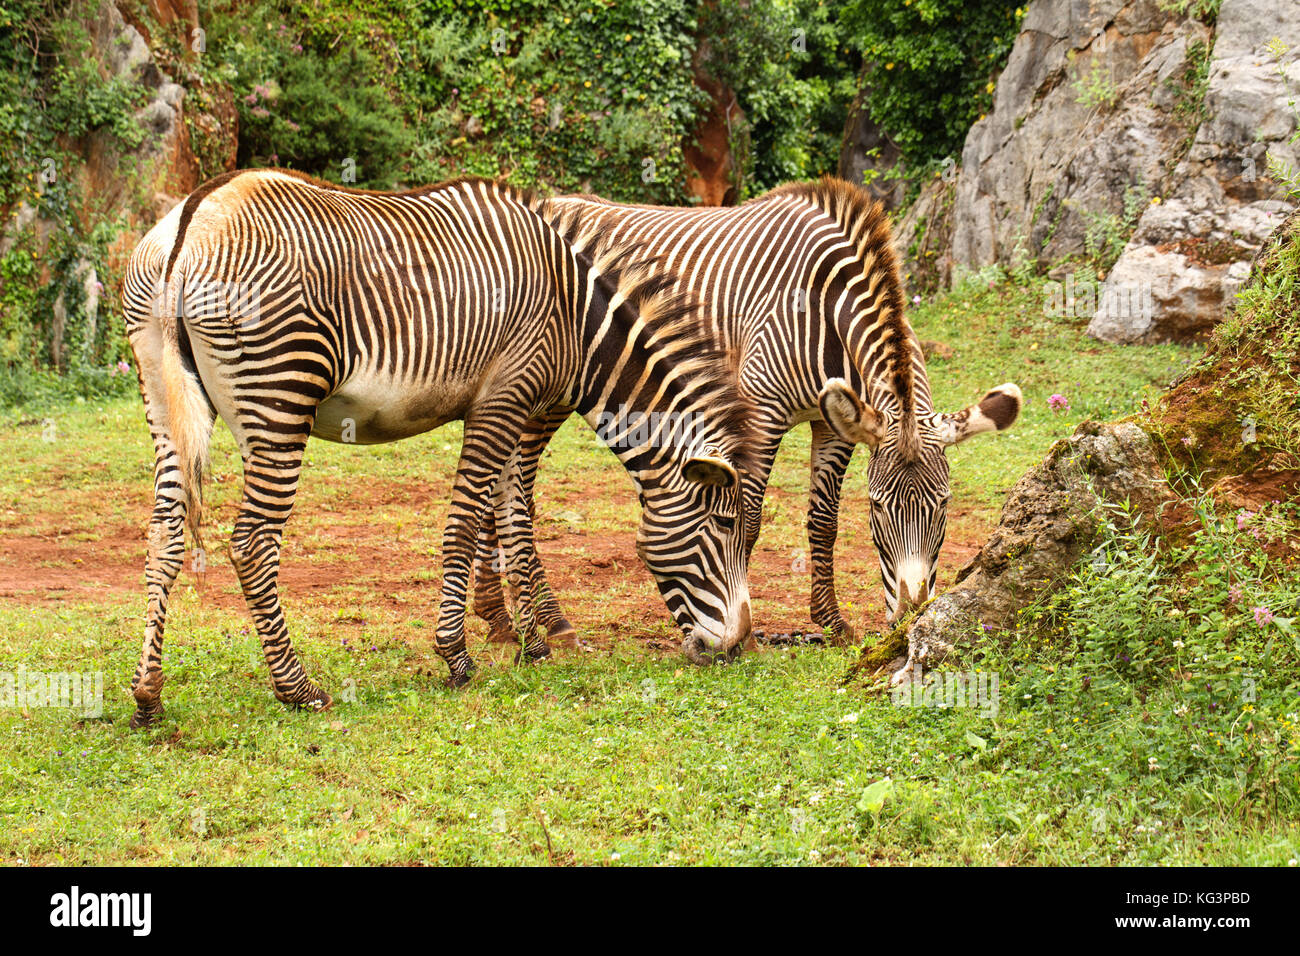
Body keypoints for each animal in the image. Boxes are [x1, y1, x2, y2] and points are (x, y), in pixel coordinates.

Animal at [121, 169, 756, 727]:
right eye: (723, 528)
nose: (738, 648)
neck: (575, 318)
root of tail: (193, 217)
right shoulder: (503, 398)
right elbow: (470, 524)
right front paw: (459, 656)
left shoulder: (517, 406)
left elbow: (513, 522)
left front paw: (533, 645)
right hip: (280, 393)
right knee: (252, 543)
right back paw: (297, 690)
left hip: (162, 394)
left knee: (163, 535)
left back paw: (149, 696)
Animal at [472, 178, 1021, 652]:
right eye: (879, 508)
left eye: (944, 506)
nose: (910, 616)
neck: (822, 309)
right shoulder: (762, 411)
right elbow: (749, 521)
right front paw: (750, 632)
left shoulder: (834, 422)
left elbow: (823, 520)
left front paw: (831, 622)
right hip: (549, 391)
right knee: (514, 489)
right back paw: (546, 619)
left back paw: (496, 618)